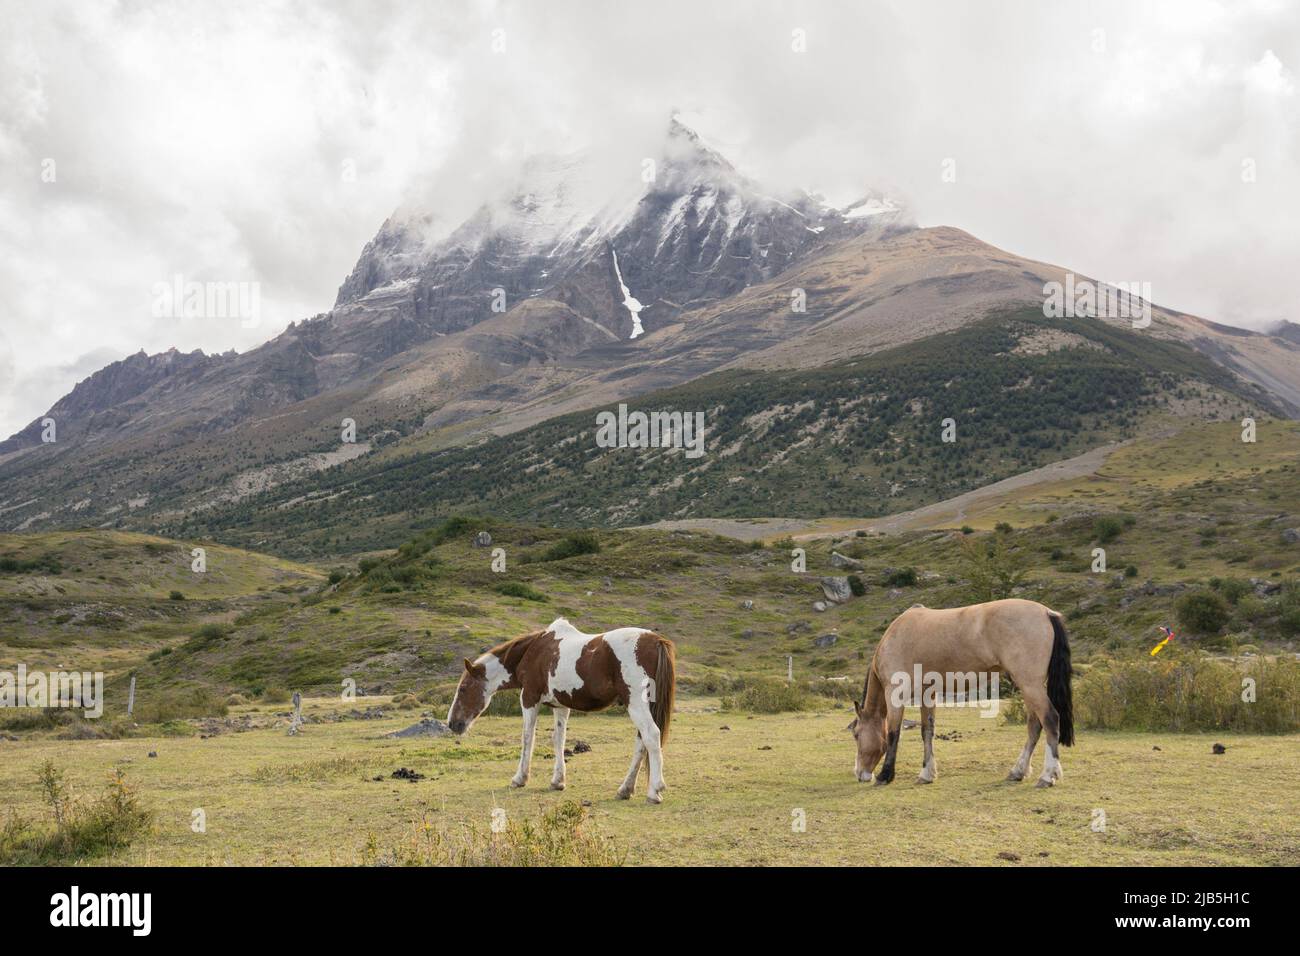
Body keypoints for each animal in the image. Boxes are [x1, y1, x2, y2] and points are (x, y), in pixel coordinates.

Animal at [446, 617, 676, 803]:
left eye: (463, 688)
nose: (452, 723)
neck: (534, 651)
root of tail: (656, 640)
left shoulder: (529, 699)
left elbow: (527, 738)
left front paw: (520, 778)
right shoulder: (560, 706)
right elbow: (559, 739)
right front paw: (557, 781)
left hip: (636, 705)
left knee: (651, 736)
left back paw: (655, 790)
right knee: (641, 742)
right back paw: (625, 789)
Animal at [848, 598, 1074, 788]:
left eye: (857, 735)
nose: (859, 773)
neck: (895, 636)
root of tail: (1047, 613)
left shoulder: (896, 693)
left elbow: (893, 734)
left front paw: (885, 775)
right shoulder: (927, 695)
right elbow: (927, 731)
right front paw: (927, 773)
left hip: (1029, 684)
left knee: (1050, 719)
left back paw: (1047, 776)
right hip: (1030, 686)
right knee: (1034, 725)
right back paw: (1018, 771)